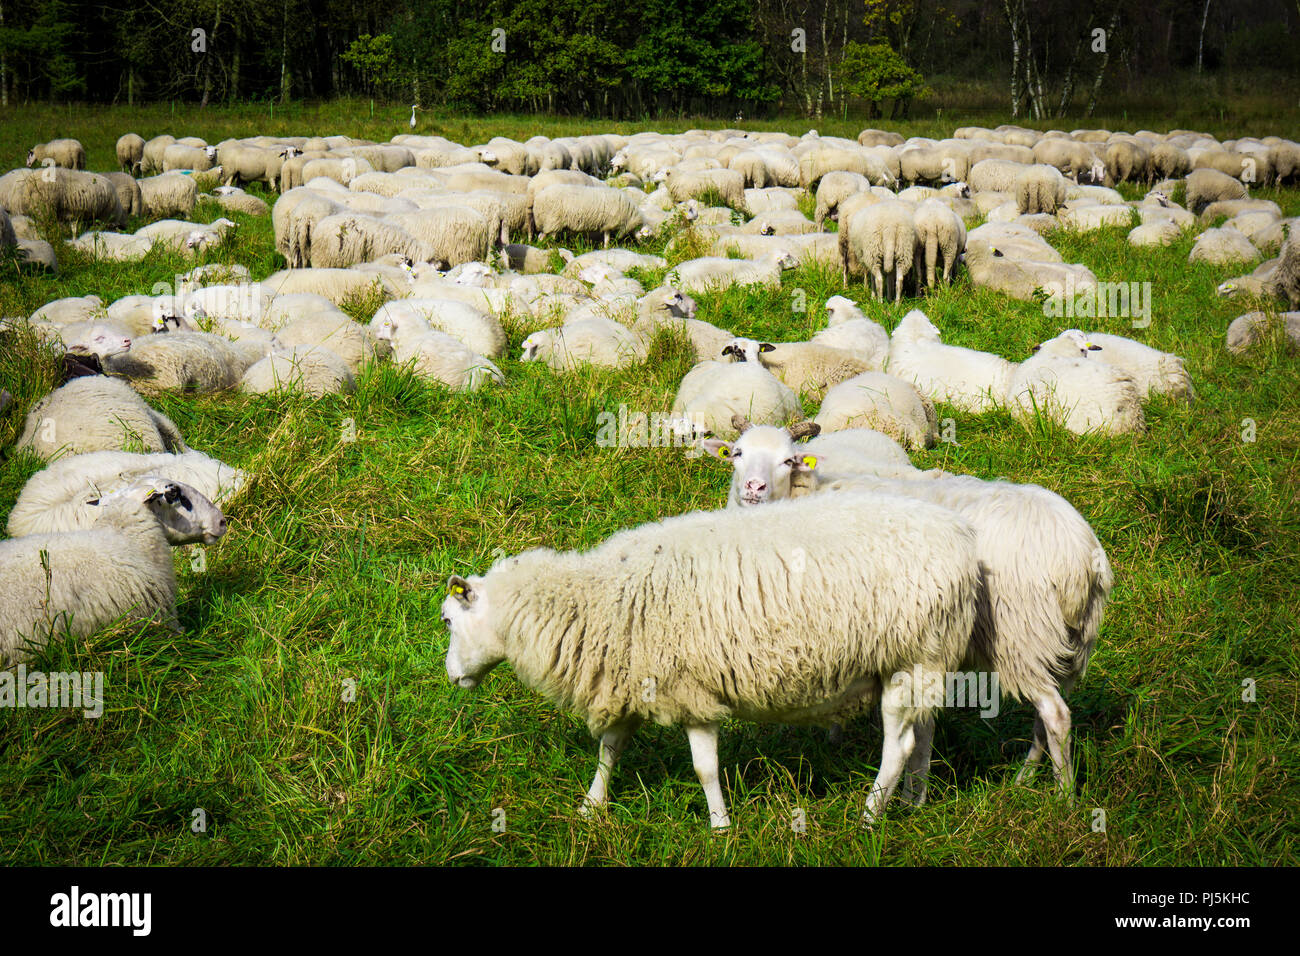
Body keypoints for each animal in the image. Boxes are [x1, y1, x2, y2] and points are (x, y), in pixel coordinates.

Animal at [441, 489, 981, 827]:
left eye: (447, 620)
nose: (451, 677)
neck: (605, 598)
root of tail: (961, 537)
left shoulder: (690, 690)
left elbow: (704, 768)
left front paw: (720, 826)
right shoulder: (633, 678)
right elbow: (610, 750)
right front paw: (591, 809)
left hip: (910, 659)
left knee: (898, 746)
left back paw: (869, 817)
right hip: (925, 662)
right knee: (924, 733)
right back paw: (914, 802)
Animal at [706, 426, 1112, 793]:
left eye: (788, 460)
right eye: (737, 453)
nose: (753, 488)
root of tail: (1082, 555)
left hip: (1021, 637)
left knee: (1055, 715)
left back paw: (1063, 797)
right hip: (1068, 646)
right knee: (1046, 719)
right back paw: (1024, 780)